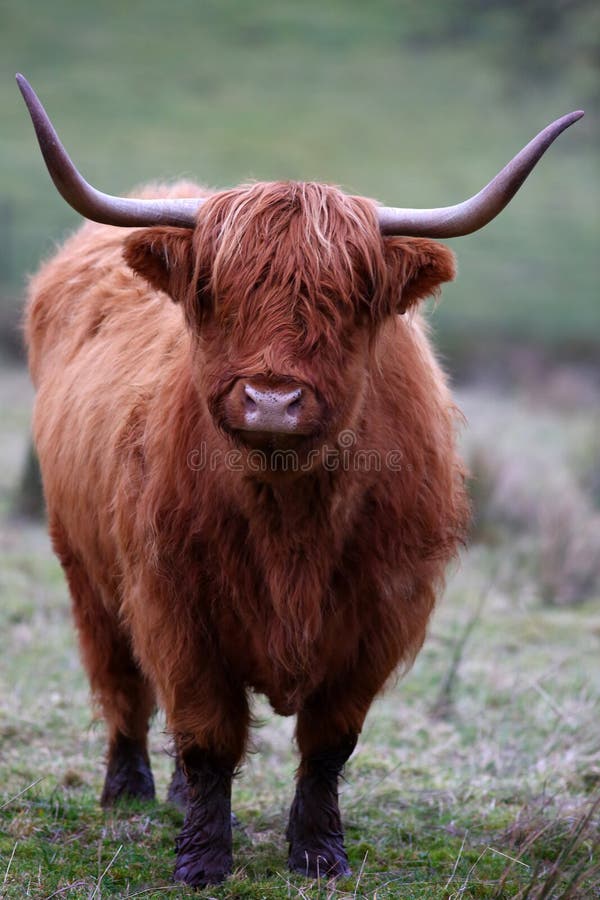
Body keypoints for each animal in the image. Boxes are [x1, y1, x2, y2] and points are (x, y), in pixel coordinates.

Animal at [17, 74, 582, 887]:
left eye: (346, 300)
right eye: (214, 294)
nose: (272, 399)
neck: (291, 515)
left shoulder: (379, 613)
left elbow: (327, 743)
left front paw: (317, 853)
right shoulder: (173, 602)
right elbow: (207, 732)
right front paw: (204, 861)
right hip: (84, 564)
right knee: (120, 680)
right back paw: (128, 790)